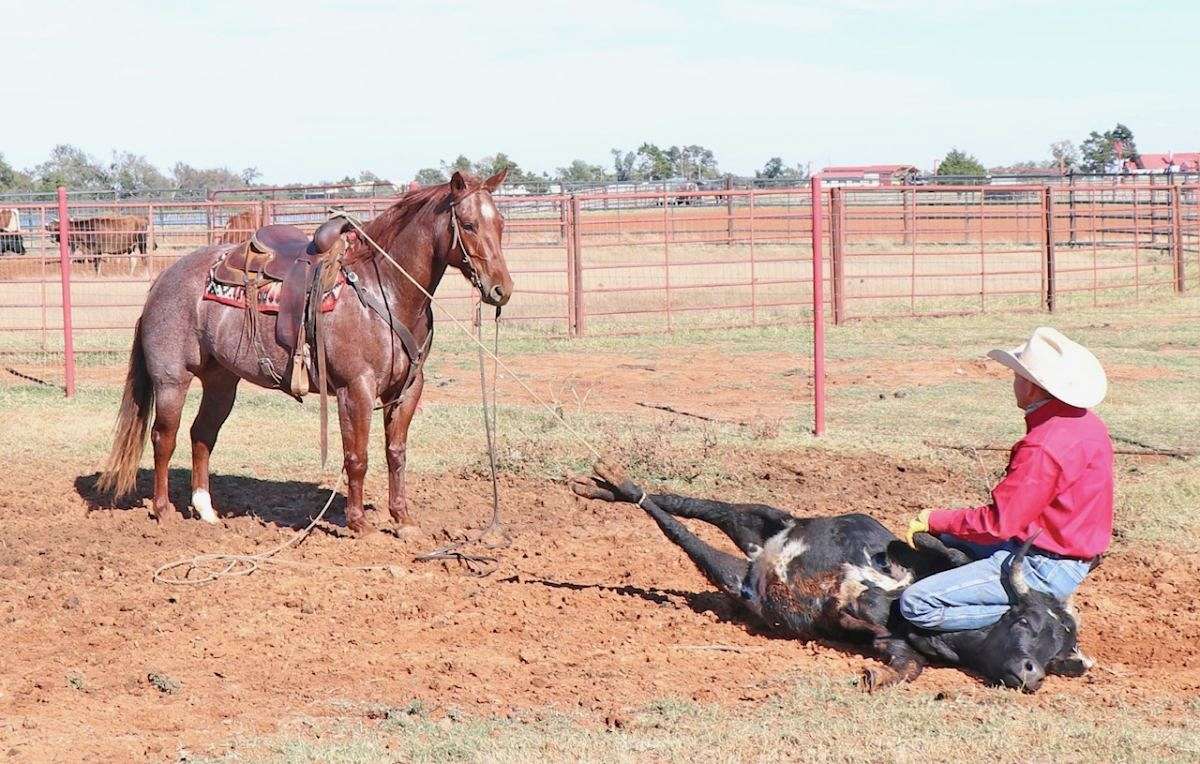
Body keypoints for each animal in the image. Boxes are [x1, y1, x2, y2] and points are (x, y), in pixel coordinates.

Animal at [98, 170, 514, 533]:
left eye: (501, 223)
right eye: (469, 224)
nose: (501, 290)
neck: (385, 292)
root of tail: (161, 282)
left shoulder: (408, 389)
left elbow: (396, 453)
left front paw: (403, 519)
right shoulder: (355, 389)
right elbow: (357, 457)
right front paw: (359, 523)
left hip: (221, 382)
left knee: (202, 434)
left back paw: (206, 511)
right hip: (172, 379)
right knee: (163, 438)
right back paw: (164, 511)